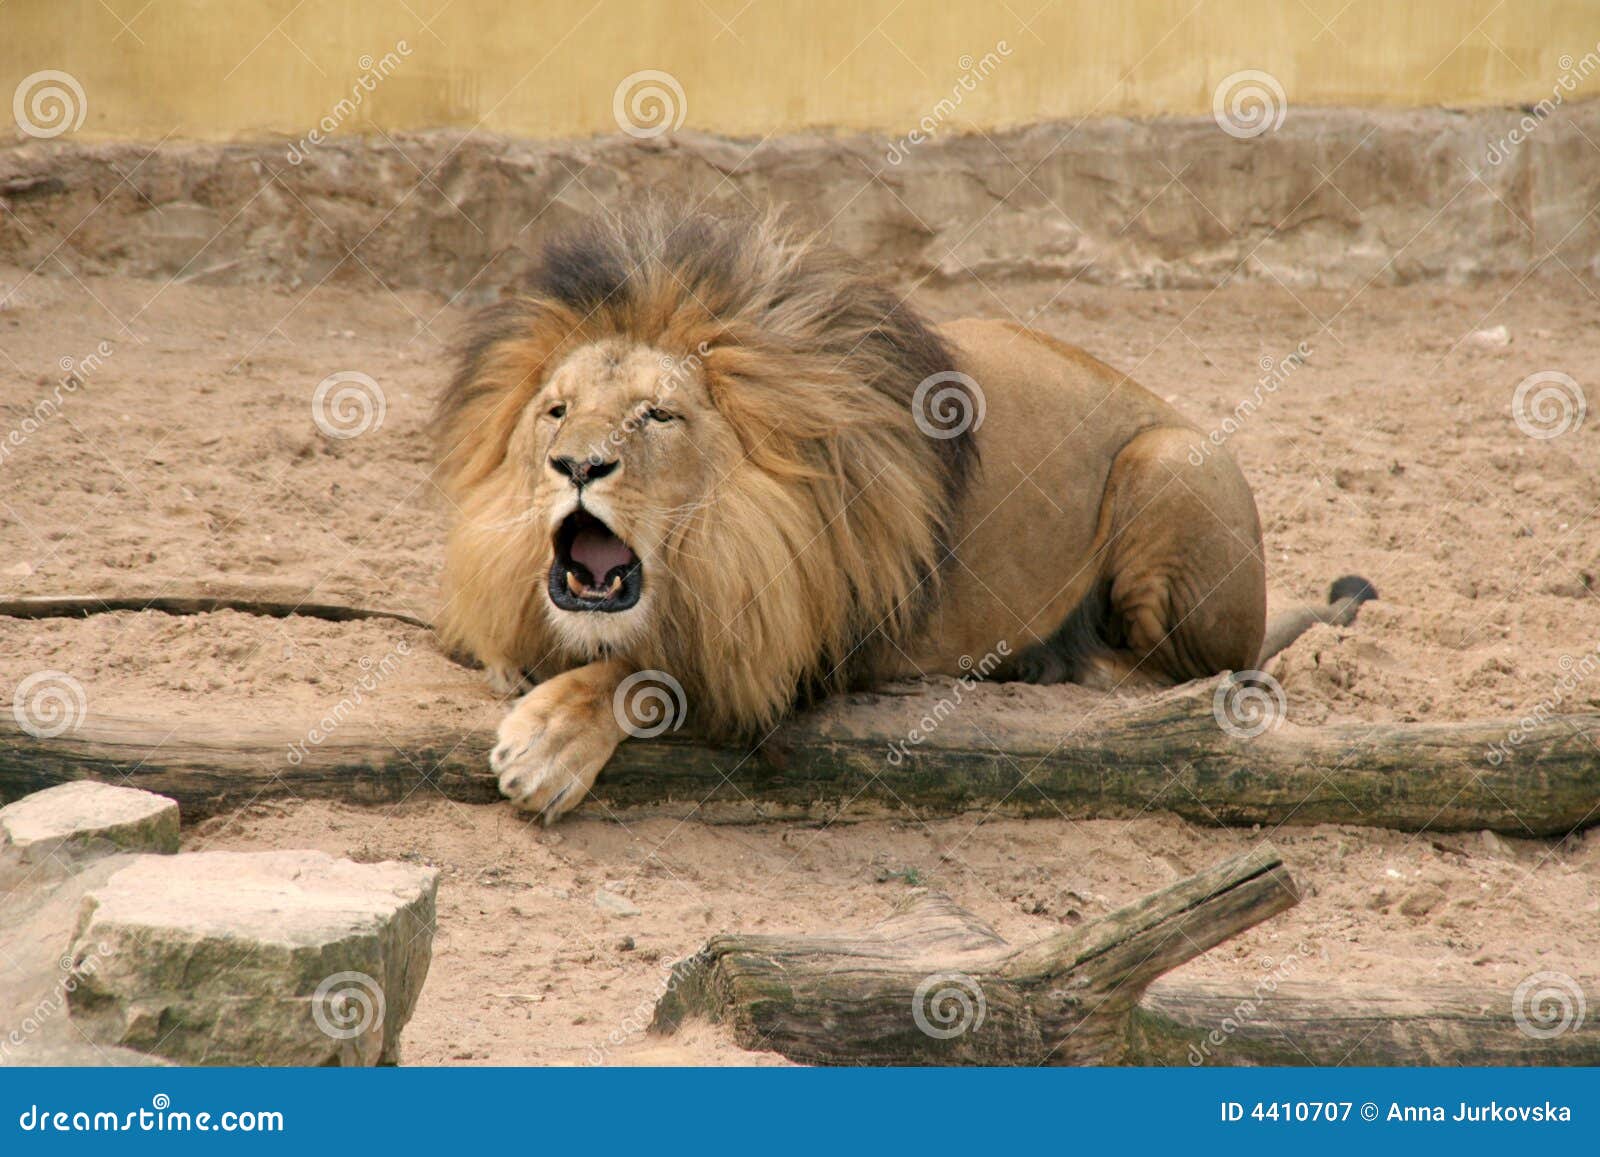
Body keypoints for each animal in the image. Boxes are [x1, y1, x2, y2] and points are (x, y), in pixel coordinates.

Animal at [432, 206, 1373, 822]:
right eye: (555, 411)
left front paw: (548, 742)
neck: (727, 536)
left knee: (1194, 670)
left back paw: (1056, 663)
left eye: (657, 415)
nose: (576, 466)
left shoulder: (802, 652)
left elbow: (650, 672)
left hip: (1171, 462)